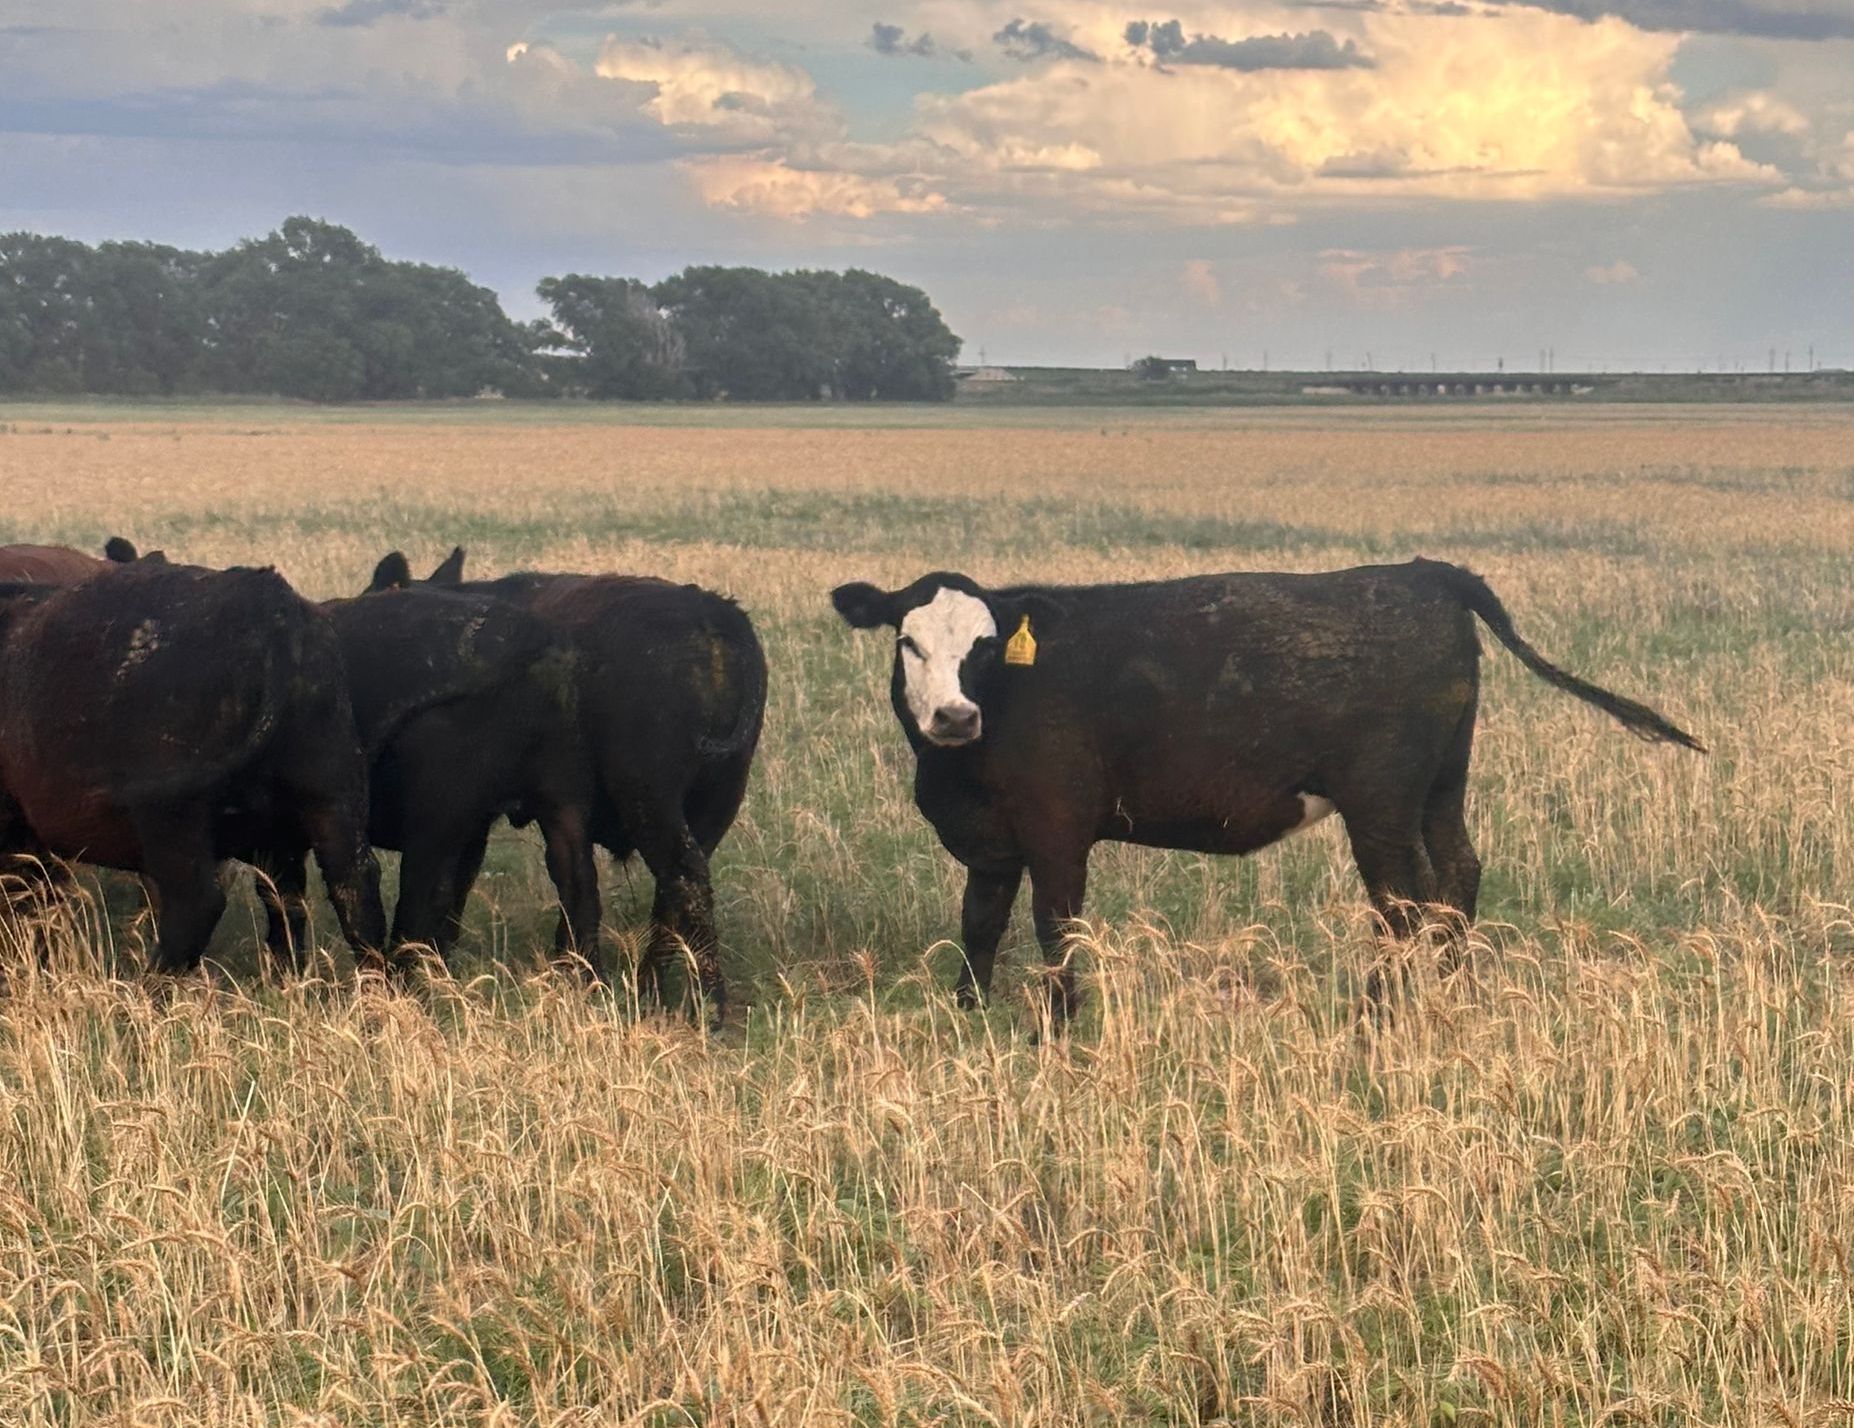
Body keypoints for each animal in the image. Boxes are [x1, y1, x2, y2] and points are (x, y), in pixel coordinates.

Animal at [0, 562, 385, 972]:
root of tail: (271, 603)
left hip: (171, 819)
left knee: (197, 902)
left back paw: (150, 980)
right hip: (331, 797)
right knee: (344, 886)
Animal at [367, 548, 767, 1025]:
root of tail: (714, 615)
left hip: (650, 799)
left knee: (682, 880)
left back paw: (706, 1000)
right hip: (716, 804)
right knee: (670, 895)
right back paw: (644, 986)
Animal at [831, 559, 1703, 1028]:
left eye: (984, 648)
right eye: (908, 643)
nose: (954, 715)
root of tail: (1425, 574)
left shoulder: (1057, 828)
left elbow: (1056, 929)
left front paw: (1060, 1028)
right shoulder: (993, 845)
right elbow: (979, 927)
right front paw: (967, 1018)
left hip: (1379, 803)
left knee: (1403, 903)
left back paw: (1376, 1017)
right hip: (1442, 786)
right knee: (1457, 878)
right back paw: (1451, 994)